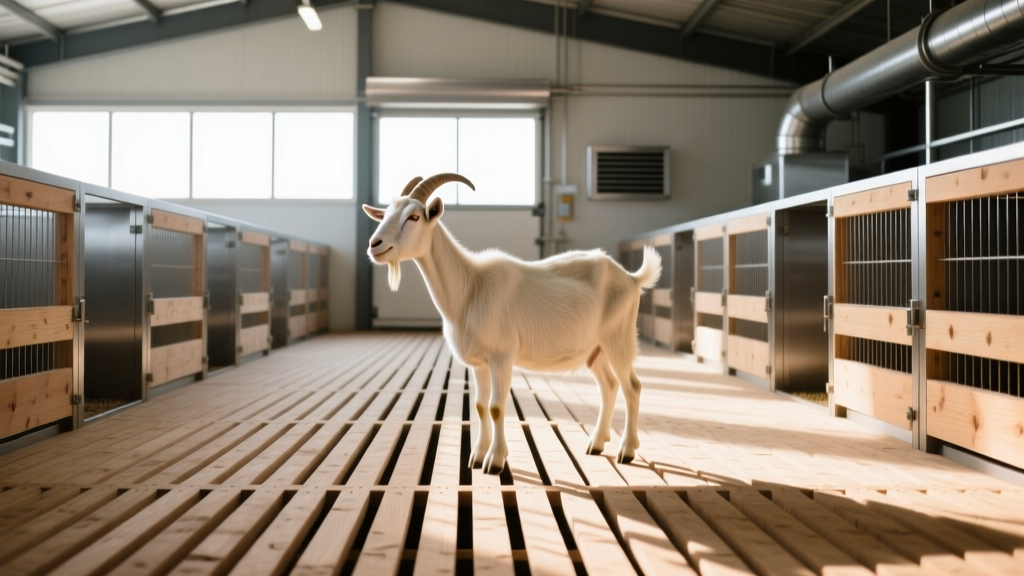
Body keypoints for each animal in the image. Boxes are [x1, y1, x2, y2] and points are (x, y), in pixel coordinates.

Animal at [363, 173, 661, 473]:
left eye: (413, 217)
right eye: (384, 215)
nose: (374, 245)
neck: (469, 289)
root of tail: (631, 278)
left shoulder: (501, 357)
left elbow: (496, 407)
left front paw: (495, 461)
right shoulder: (479, 363)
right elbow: (480, 406)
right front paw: (477, 457)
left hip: (618, 337)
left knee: (632, 386)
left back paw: (627, 451)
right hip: (593, 349)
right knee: (608, 386)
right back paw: (596, 444)